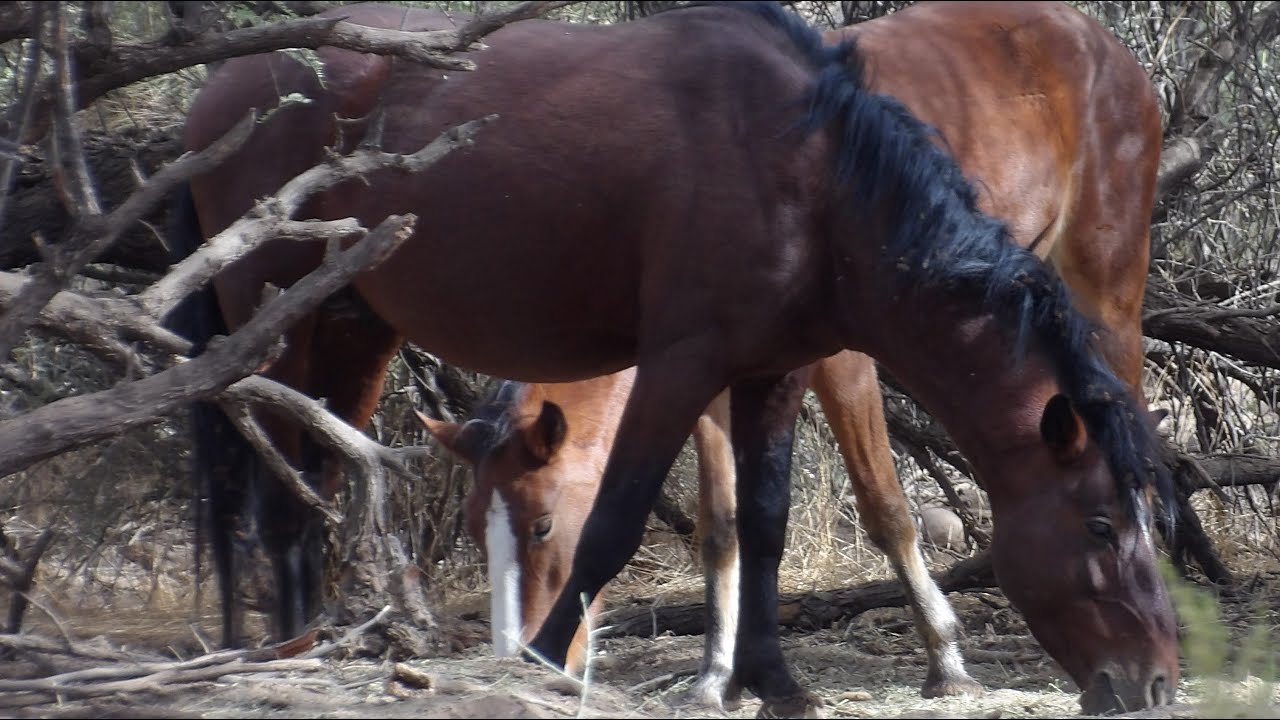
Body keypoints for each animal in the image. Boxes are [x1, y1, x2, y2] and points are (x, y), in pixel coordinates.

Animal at [167, 2, 1179, 715]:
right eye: (1100, 527)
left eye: (1140, 524)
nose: (1157, 683)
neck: (809, 173)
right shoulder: (683, 366)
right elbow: (623, 523)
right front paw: (547, 669)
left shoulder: (774, 369)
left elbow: (762, 523)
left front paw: (772, 682)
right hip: (286, 320)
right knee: (282, 495)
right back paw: (294, 652)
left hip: (354, 326)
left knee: (315, 479)